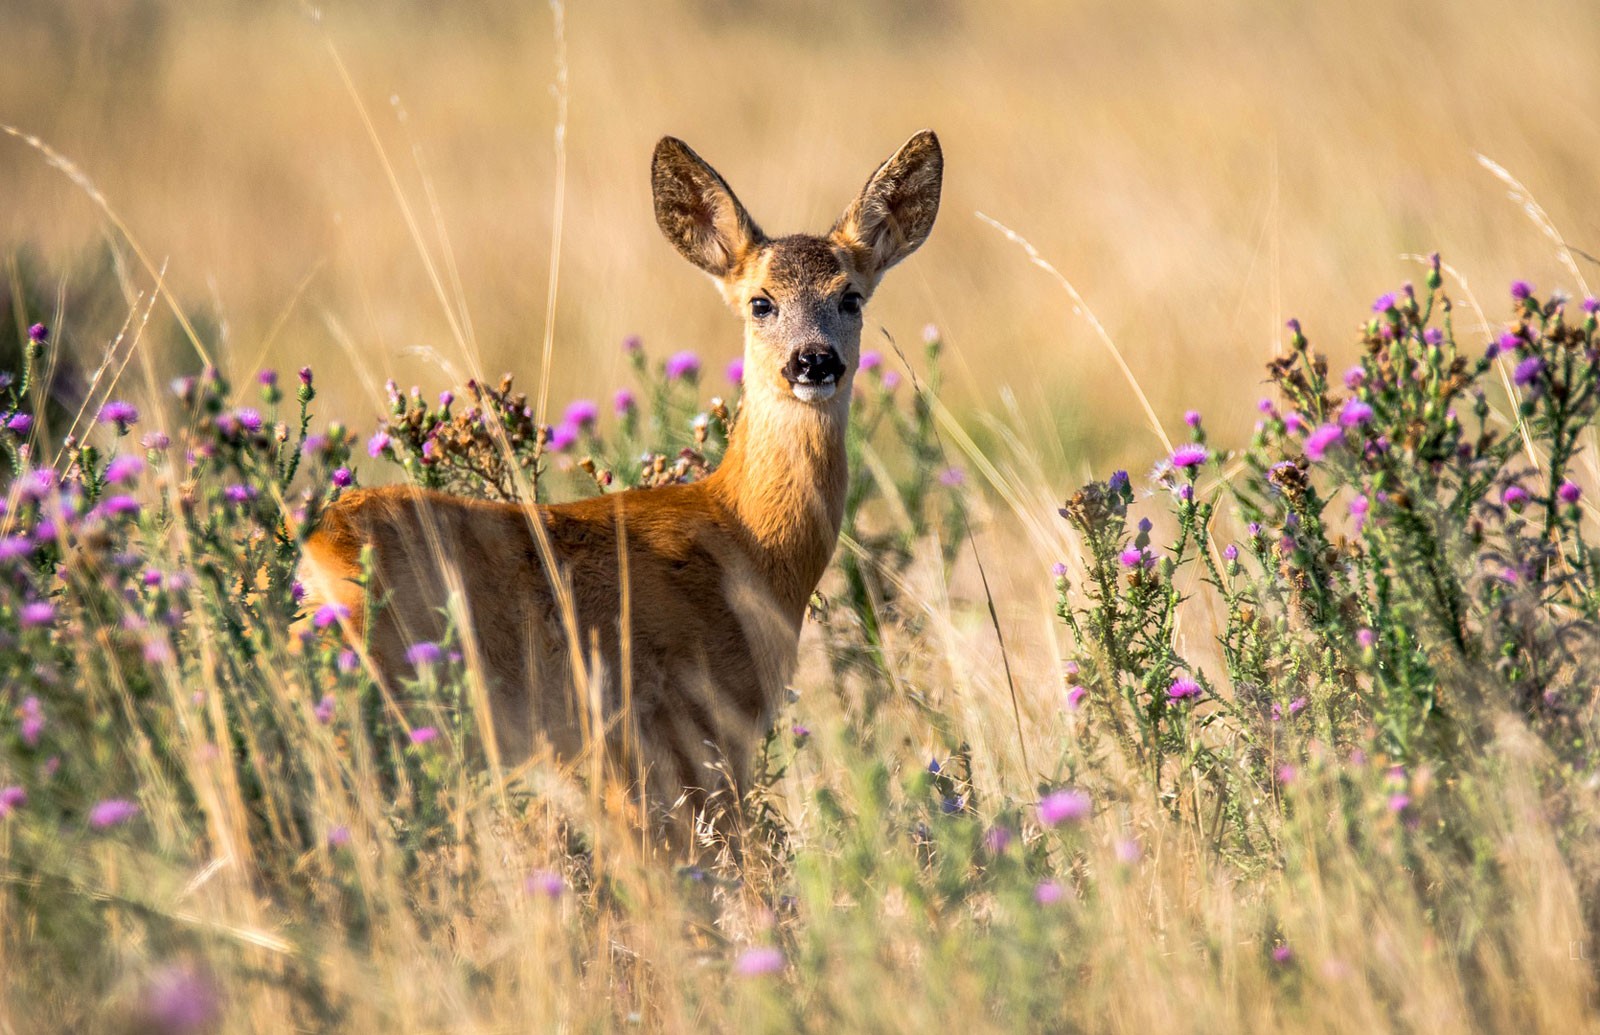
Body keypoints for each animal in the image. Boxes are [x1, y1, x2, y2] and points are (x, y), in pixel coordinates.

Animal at [298, 130, 943, 847]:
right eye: (761, 302)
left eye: (851, 297)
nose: (814, 361)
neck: (747, 540)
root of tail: (320, 546)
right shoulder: (688, 724)